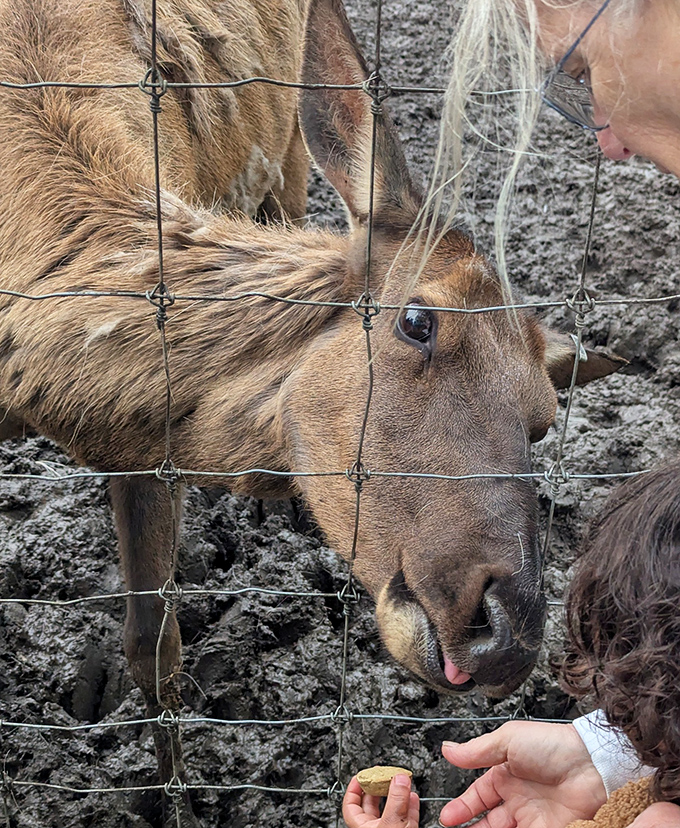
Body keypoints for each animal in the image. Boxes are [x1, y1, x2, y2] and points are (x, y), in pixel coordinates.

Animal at [0, 0, 625, 817]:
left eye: (544, 419)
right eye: (417, 320)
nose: (509, 636)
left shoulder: (140, 444)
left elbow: (153, 647)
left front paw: (179, 801)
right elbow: (154, 647)